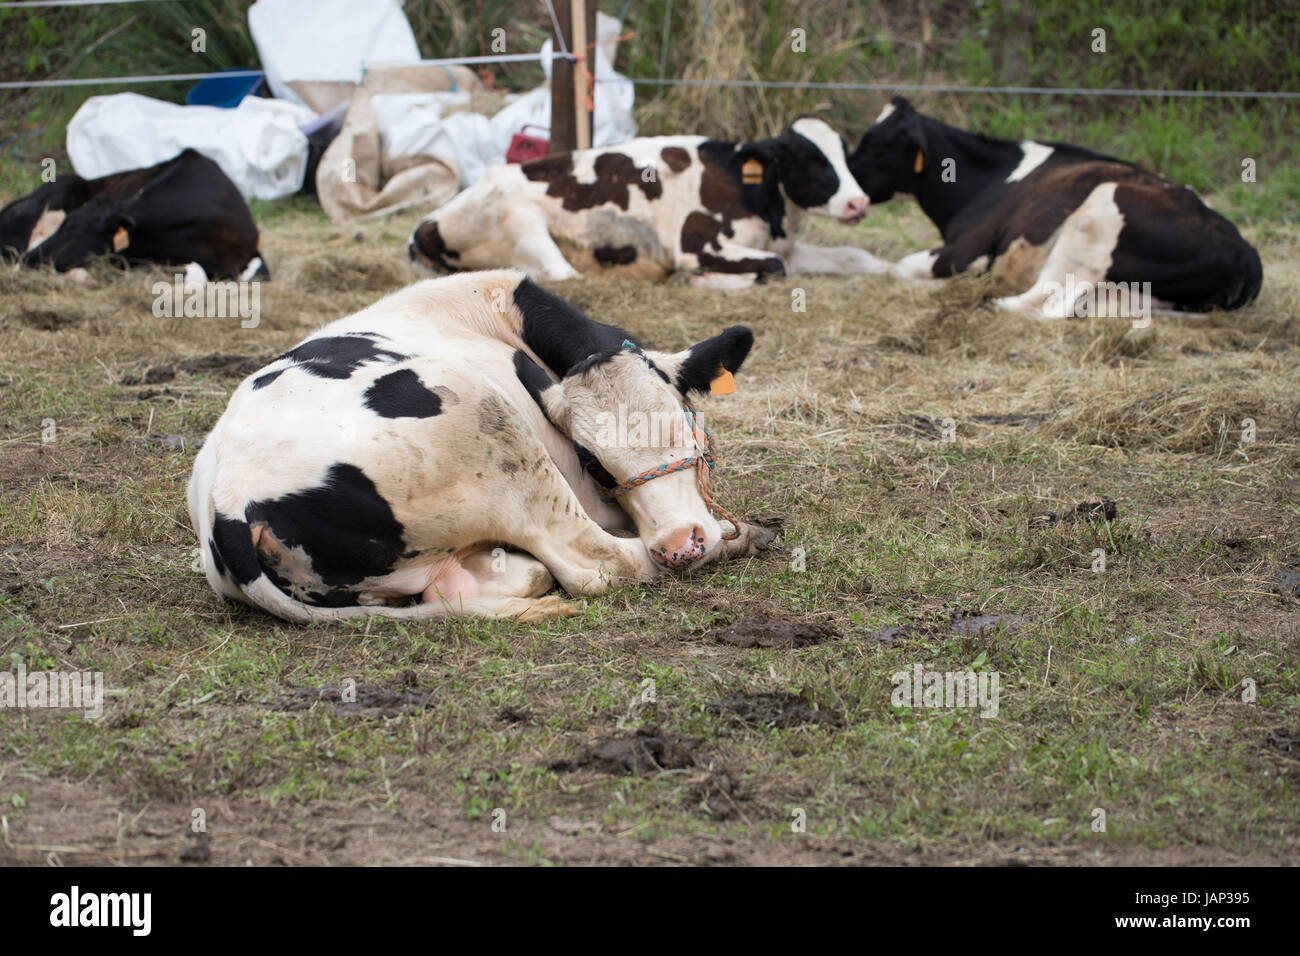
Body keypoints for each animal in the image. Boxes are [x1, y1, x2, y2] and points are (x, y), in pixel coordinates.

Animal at [187, 269, 776, 623]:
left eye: (681, 423)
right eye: (594, 464)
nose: (679, 545)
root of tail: (227, 504)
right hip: (496, 438)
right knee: (593, 564)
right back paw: (740, 537)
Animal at [408, 117, 889, 290]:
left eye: (845, 155)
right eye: (809, 158)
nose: (858, 203)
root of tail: (424, 225)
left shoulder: (784, 244)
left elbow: (852, 255)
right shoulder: (698, 244)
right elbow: (774, 267)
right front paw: (701, 280)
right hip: (522, 219)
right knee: (559, 275)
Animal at [847, 97, 1262, 317]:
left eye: (875, 144)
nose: (851, 195)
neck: (986, 181)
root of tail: (1246, 252)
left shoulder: (968, 250)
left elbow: (898, 267)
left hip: (1095, 217)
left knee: (1042, 302)